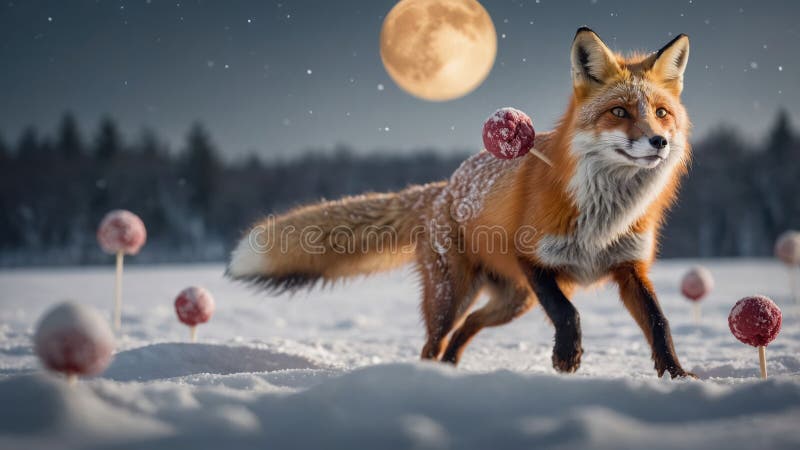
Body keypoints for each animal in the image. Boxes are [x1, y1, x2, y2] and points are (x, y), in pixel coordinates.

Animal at [226, 27, 695, 378]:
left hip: (512, 302)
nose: (659, 141)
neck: (604, 215)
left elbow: (660, 322)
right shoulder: (532, 260)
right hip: (454, 294)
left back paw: (450, 371)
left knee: (465, 329)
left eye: (661, 112)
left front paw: (676, 376)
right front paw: (567, 356)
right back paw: (429, 377)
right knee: (434, 342)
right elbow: (568, 312)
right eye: (619, 112)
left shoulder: (629, 266)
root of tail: (443, 187)